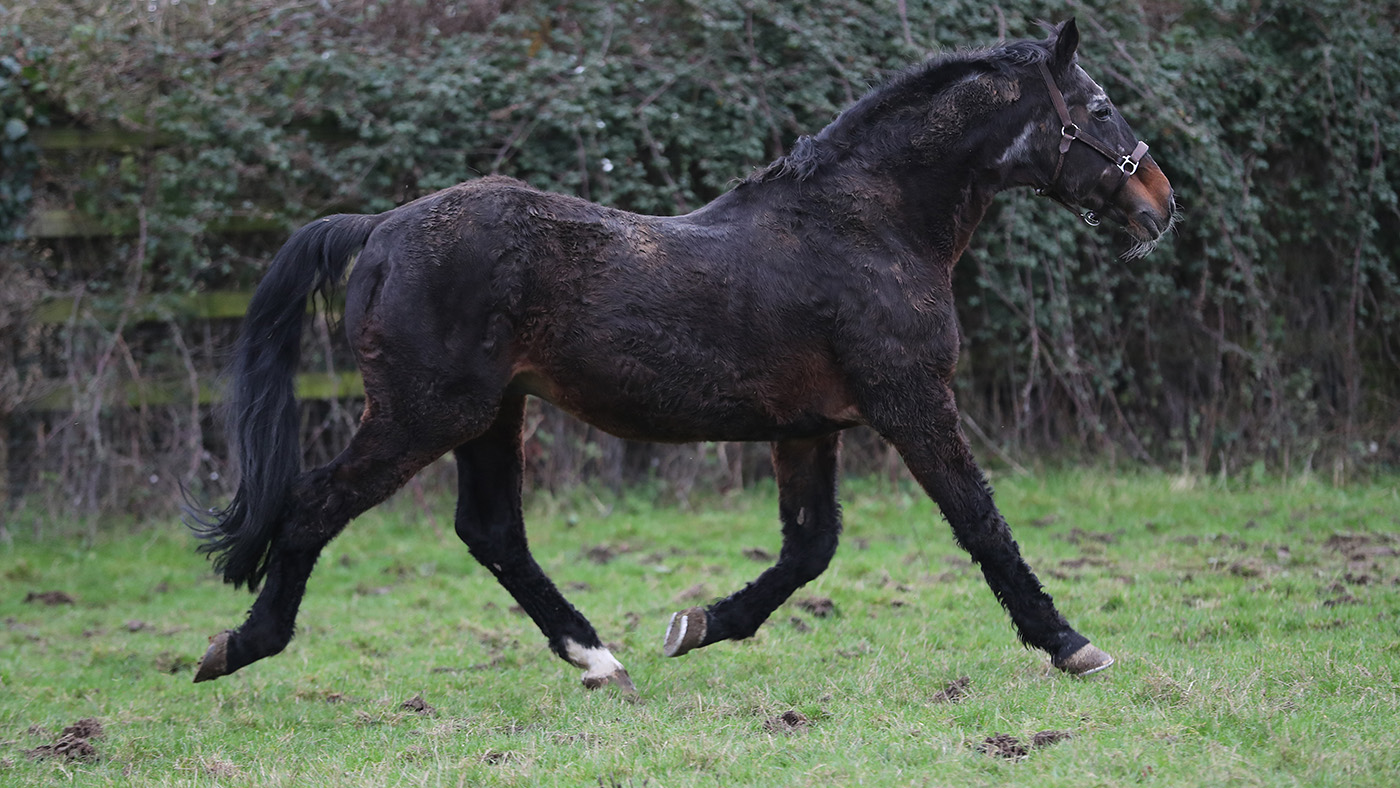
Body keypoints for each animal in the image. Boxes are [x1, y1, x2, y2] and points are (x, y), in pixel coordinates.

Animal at [190, 19, 1175, 694]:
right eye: (1096, 107)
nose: (1159, 205)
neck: (867, 225)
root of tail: (381, 230)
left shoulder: (810, 429)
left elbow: (810, 550)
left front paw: (695, 624)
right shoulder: (913, 403)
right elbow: (980, 523)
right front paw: (1071, 644)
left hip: (492, 413)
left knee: (492, 532)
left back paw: (599, 658)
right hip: (423, 414)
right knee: (315, 507)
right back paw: (238, 646)